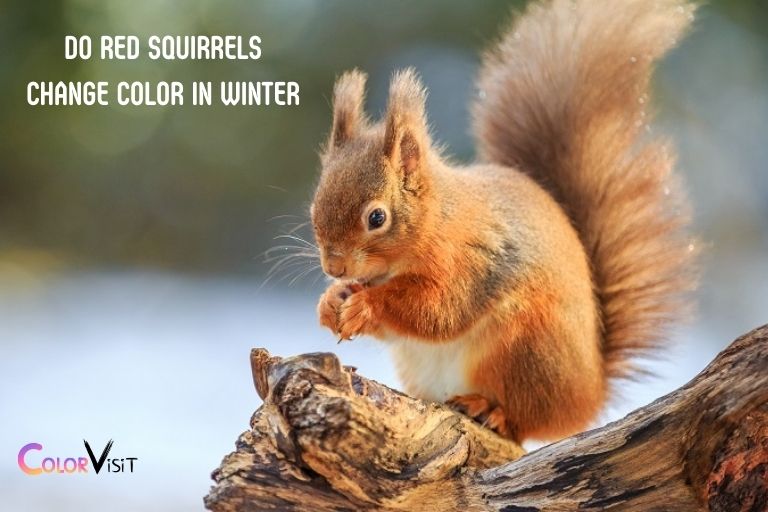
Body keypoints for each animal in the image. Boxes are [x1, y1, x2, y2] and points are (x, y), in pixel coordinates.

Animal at [310, 0, 698, 443]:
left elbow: (438, 310)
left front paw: (366, 304)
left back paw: (490, 409)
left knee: (522, 419)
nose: (334, 267)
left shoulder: (473, 262)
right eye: (314, 205)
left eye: (377, 217)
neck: (437, 221)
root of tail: (589, 395)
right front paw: (331, 301)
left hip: (524, 350)